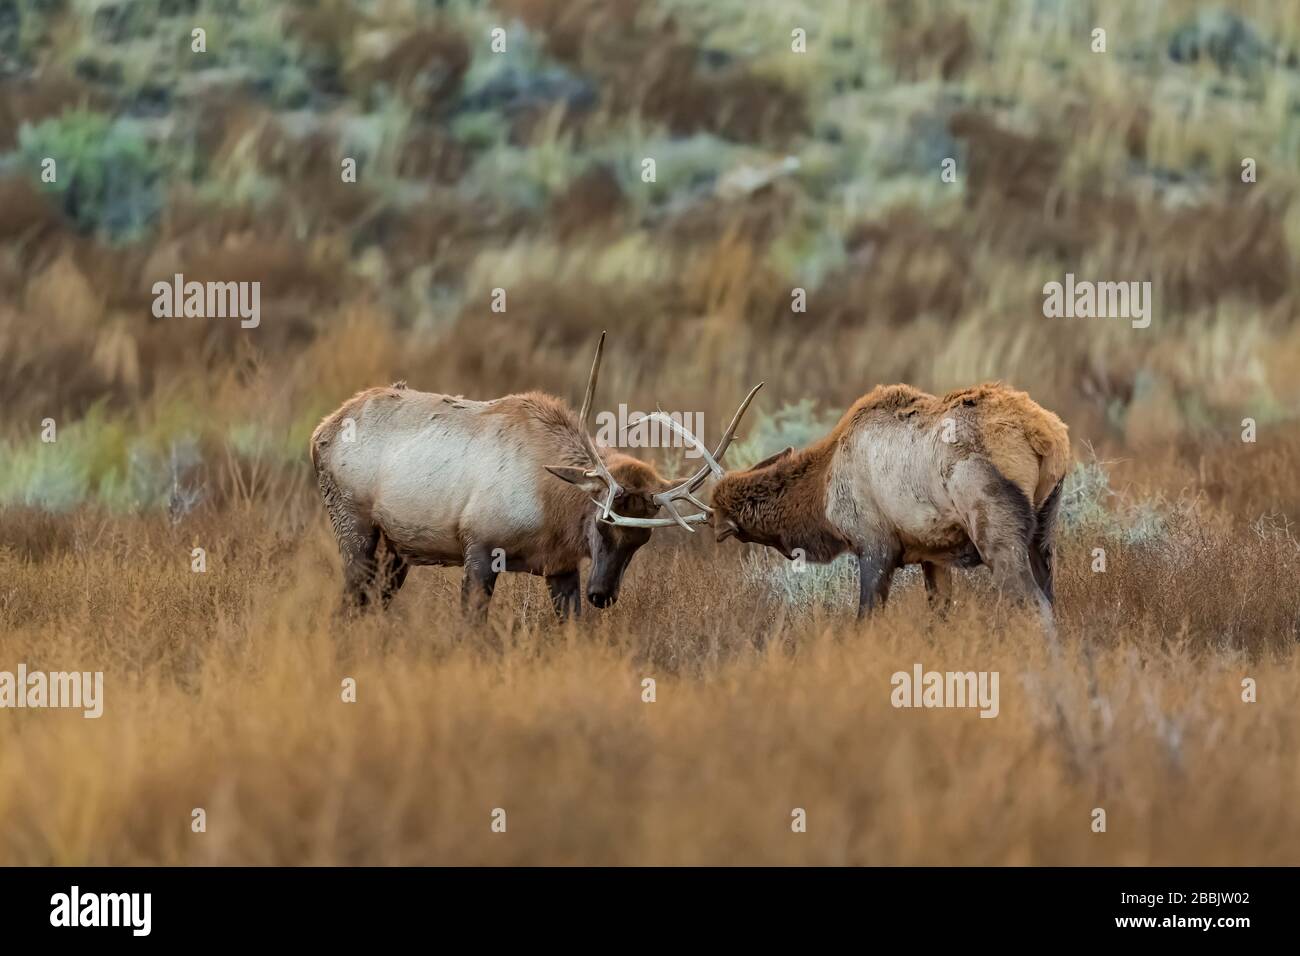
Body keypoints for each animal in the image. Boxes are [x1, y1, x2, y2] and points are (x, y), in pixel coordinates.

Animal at [309, 333, 761, 620]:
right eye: (602, 523)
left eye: (641, 540)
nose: (602, 595)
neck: (552, 511)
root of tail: (319, 433)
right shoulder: (479, 547)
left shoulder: (561, 568)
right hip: (354, 526)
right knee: (346, 604)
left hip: (396, 549)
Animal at [647, 382, 1070, 629]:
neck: (822, 493)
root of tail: (1047, 436)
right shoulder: (932, 554)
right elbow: (939, 620)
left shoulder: (875, 545)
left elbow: (864, 621)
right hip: (1044, 533)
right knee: (1051, 600)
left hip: (996, 530)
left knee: (1036, 607)